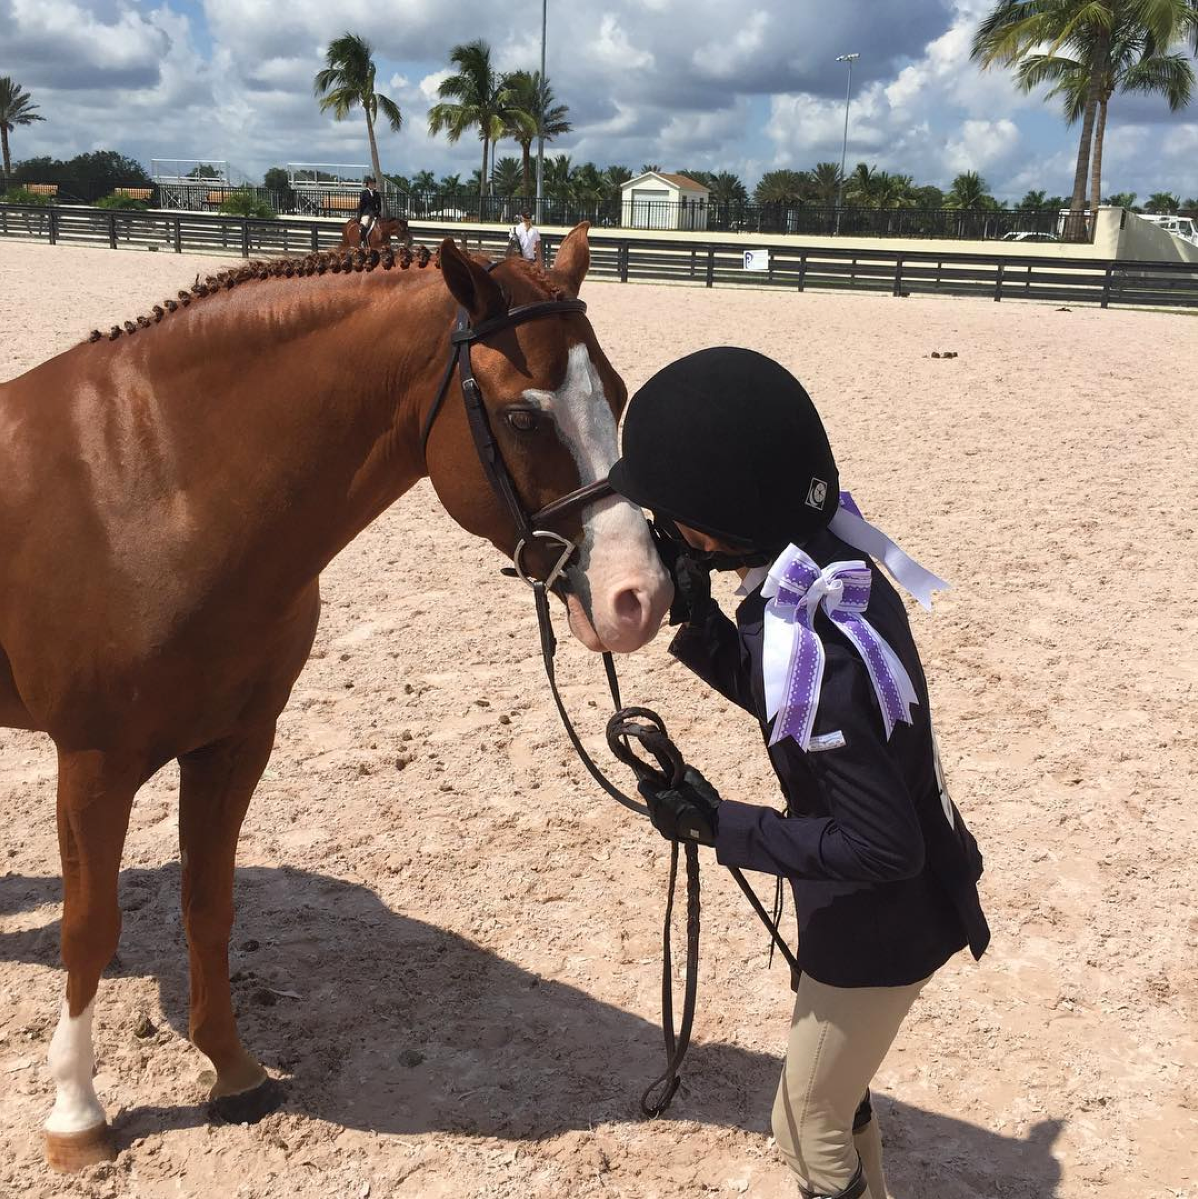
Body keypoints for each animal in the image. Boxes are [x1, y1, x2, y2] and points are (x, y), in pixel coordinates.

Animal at [0, 224, 673, 1171]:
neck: (148, 482)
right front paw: (76, 1114)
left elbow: (209, 903)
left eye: (613, 396)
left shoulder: (234, 745)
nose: (638, 595)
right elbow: (89, 928)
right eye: (522, 416)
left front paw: (233, 1072)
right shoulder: (94, 764)